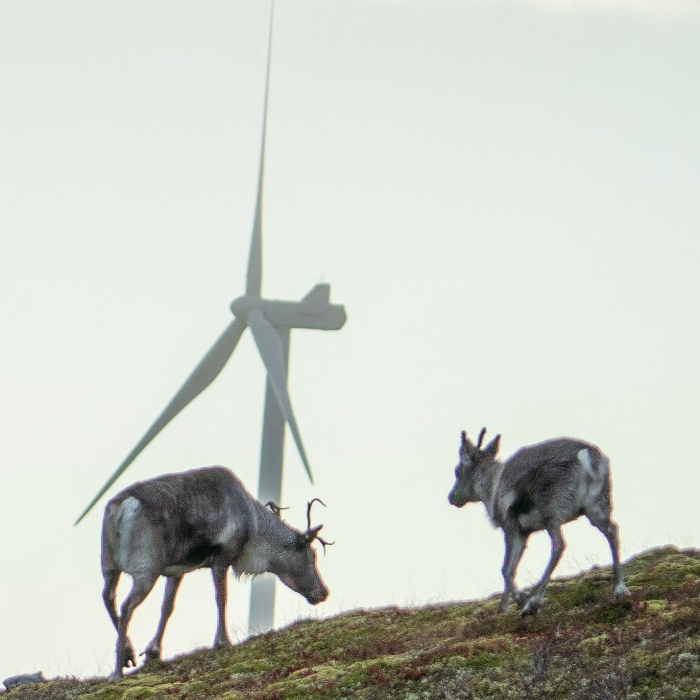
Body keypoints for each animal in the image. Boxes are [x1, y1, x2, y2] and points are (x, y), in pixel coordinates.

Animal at [101, 466, 331, 680]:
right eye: (312, 555)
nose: (323, 592)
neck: (253, 530)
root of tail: (122, 506)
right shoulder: (222, 557)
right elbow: (221, 598)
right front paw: (222, 641)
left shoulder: (176, 569)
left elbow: (167, 608)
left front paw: (153, 652)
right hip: (146, 570)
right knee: (126, 607)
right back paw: (117, 672)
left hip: (108, 564)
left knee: (108, 597)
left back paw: (127, 654)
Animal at [448, 428, 629, 615]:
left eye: (457, 471)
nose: (452, 497)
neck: (492, 488)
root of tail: (587, 455)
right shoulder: (525, 532)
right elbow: (510, 568)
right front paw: (505, 607)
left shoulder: (512, 527)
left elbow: (506, 568)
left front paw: (517, 601)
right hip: (596, 505)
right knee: (612, 530)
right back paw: (619, 588)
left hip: (551, 512)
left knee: (558, 545)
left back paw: (533, 601)